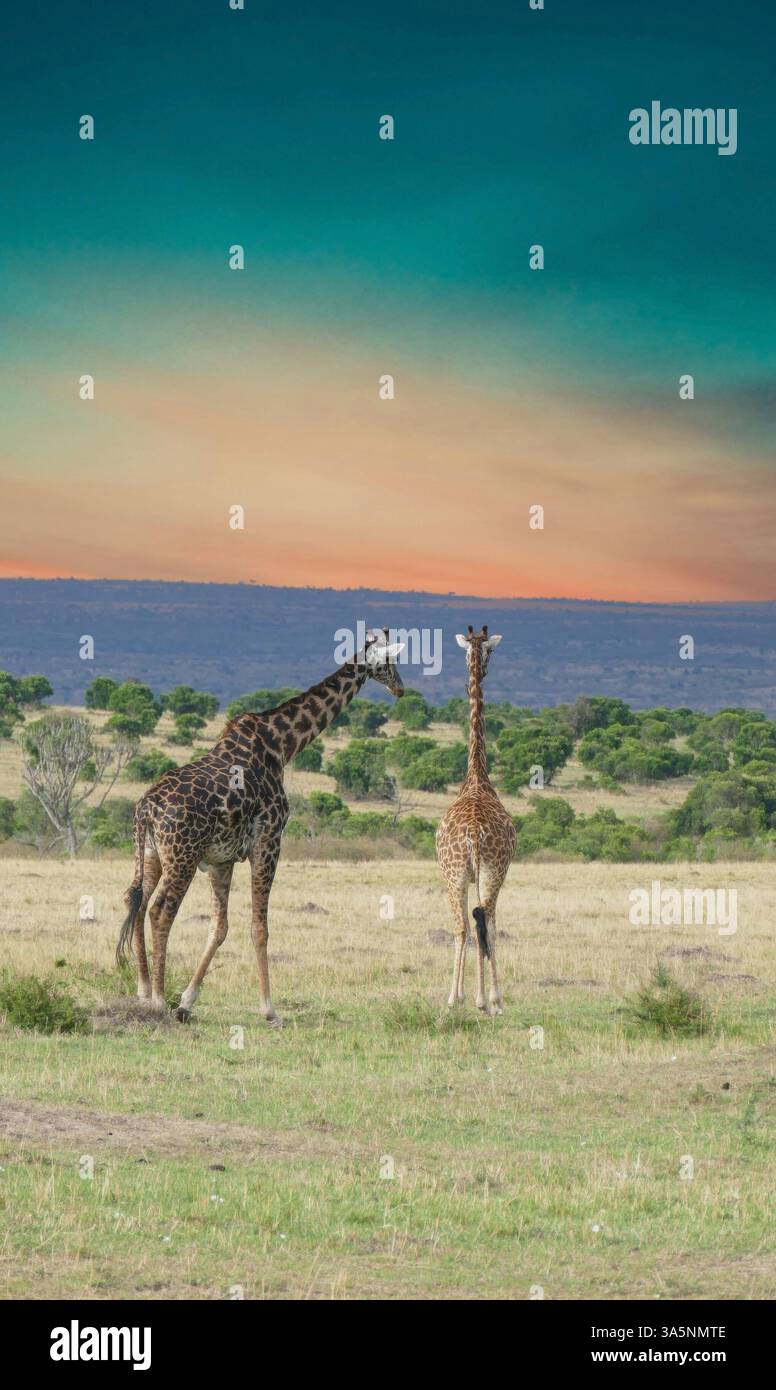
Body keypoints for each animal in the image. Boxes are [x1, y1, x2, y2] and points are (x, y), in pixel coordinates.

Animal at [116, 629, 405, 1026]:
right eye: (391, 661)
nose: (401, 688)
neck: (282, 745)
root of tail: (147, 808)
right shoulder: (268, 842)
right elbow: (259, 928)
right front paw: (270, 1011)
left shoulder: (221, 859)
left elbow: (219, 927)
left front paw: (187, 1003)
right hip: (182, 856)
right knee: (161, 910)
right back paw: (159, 999)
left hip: (150, 853)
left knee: (138, 902)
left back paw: (144, 992)